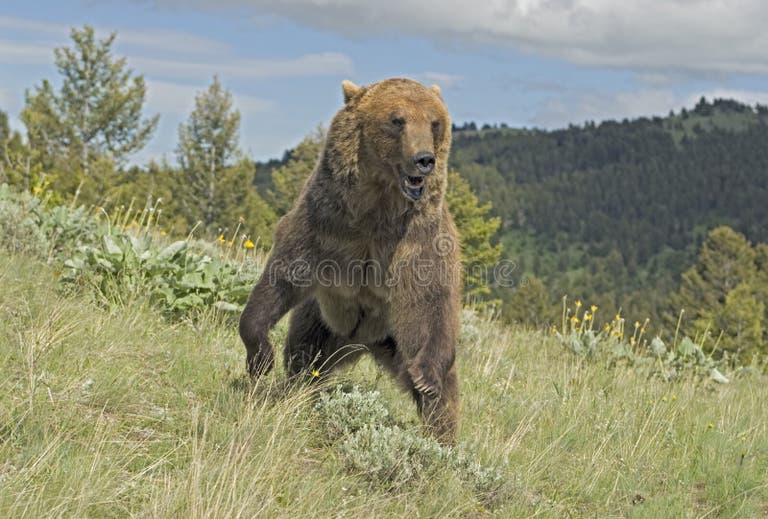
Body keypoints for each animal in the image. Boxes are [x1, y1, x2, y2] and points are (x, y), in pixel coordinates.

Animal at [239, 78, 461, 443]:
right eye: (397, 120)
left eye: (434, 122)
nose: (424, 159)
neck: (378, 207)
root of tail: (362, 342)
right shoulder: (326, 222)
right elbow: (283, 274)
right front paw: (260, 356)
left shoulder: (416, 240)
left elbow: (430, 299)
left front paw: (426, 379)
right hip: (323, 323)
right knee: (304, 355)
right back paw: (298, 393)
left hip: (396, 337)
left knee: (444, 392)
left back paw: (442, 438)